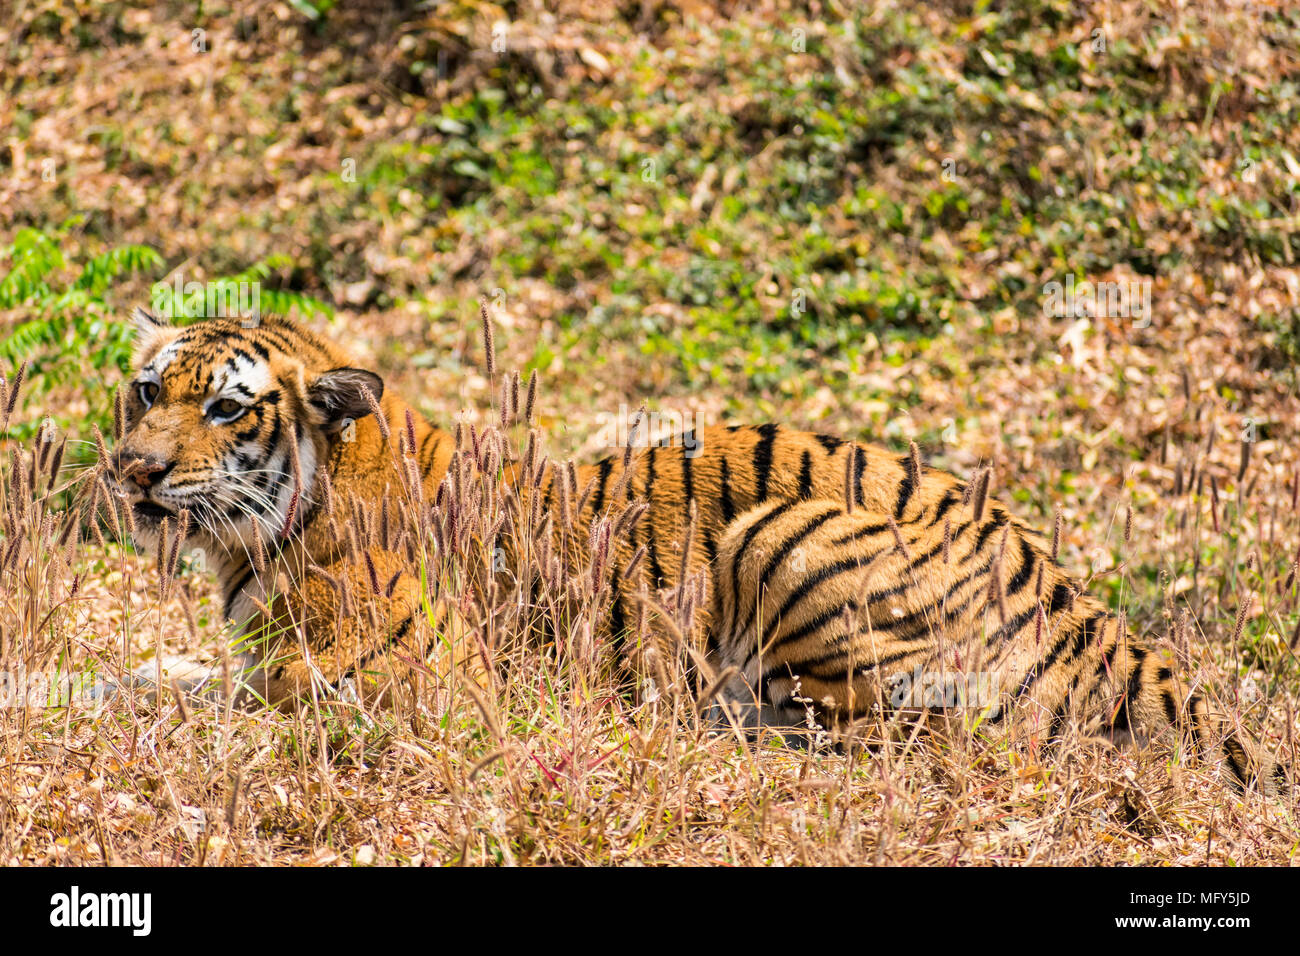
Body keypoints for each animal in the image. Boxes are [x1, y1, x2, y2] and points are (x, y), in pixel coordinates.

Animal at [106, 308, 1285, 789]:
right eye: (148, 391)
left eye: (226, 408)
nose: (134, 470)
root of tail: (1070, 588)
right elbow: (176, 673)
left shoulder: (413, 686)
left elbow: (221, 699)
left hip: (783, 539)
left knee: (912, 743)